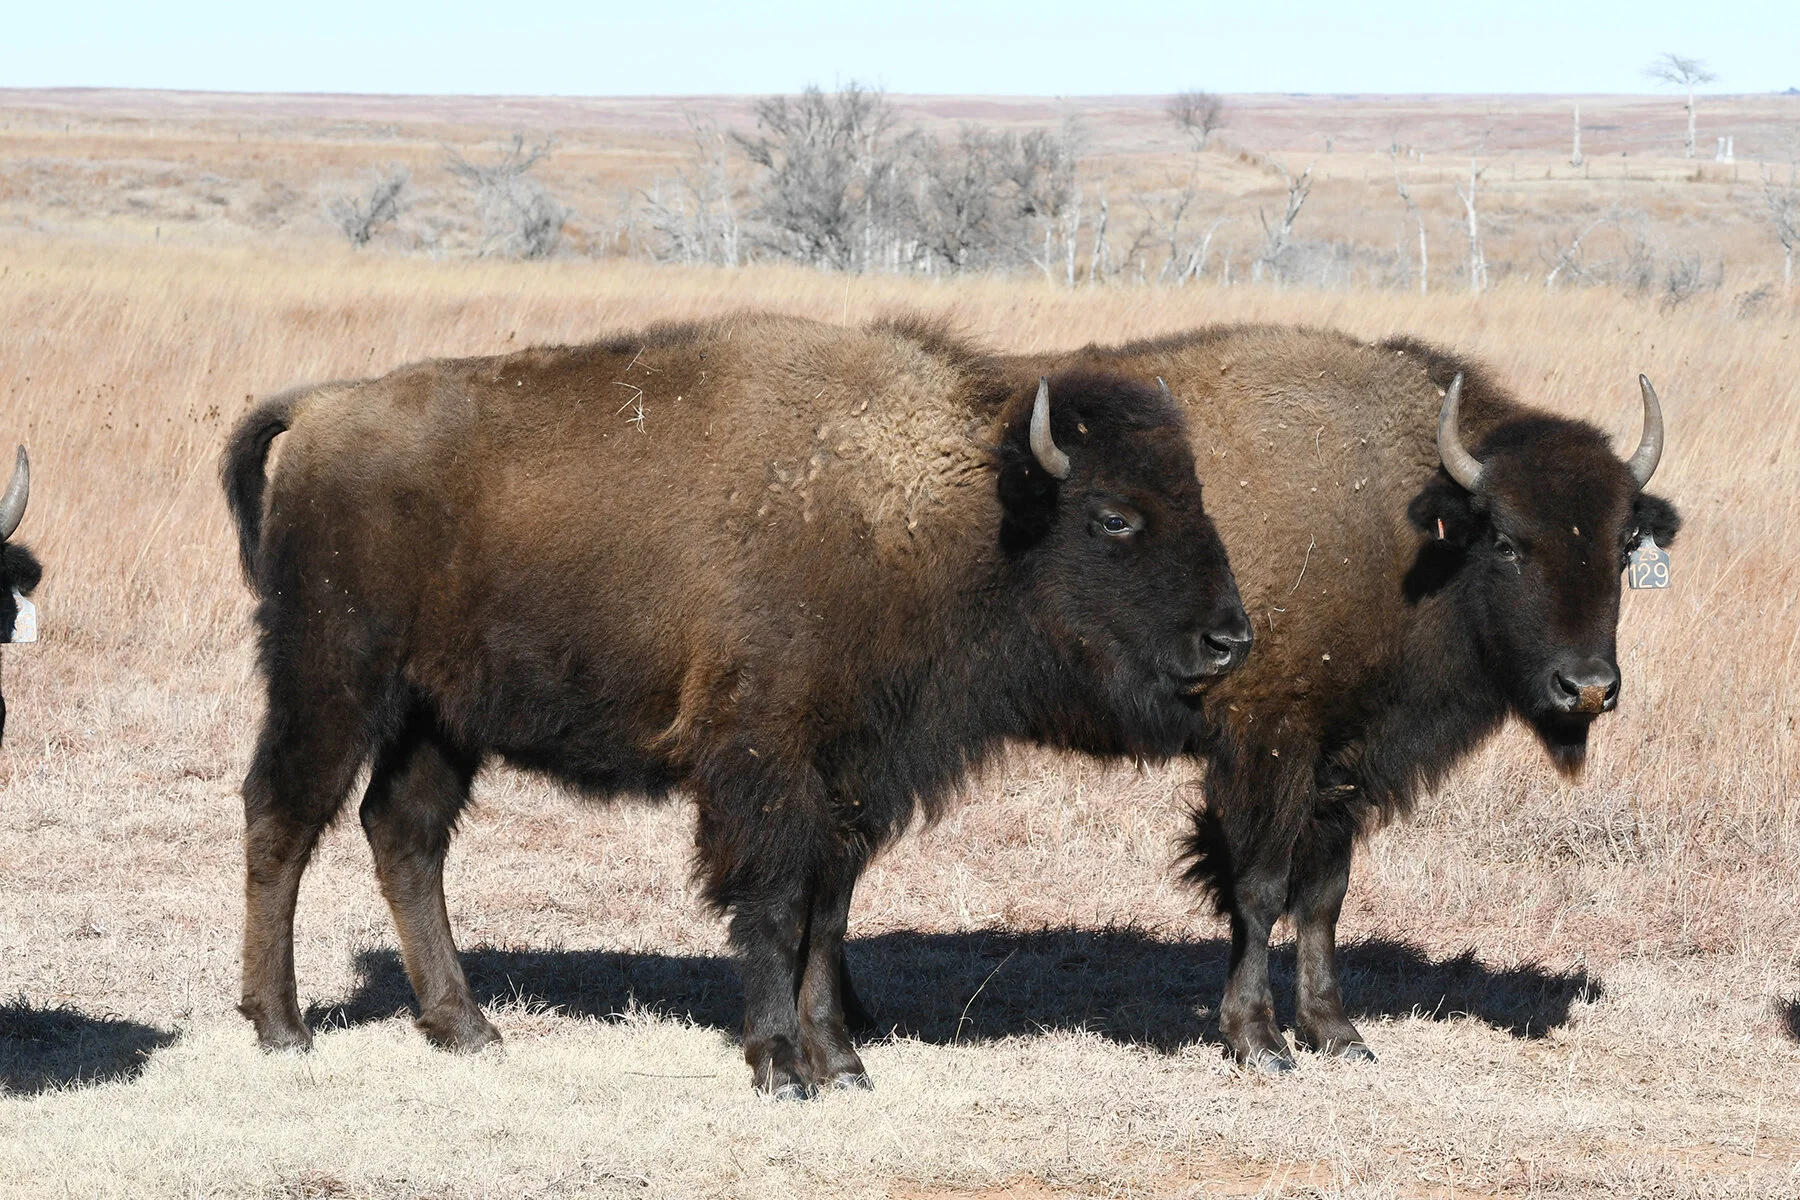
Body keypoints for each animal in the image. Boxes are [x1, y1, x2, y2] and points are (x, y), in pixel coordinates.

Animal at [222, 314, 1251, 1095]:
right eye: (1115, 517)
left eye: (1200, 496)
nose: (1231, 639)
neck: (940, 508)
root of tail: (319, 408)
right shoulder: (763, 766)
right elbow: (772, 905)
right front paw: (781, 1066)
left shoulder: (855, 778)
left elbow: (828, 914)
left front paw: (843, 1064)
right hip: (332, 680)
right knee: (282, 820)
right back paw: (281, 1028)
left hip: (441, 719)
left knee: (403, 834)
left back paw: (466, 1026)